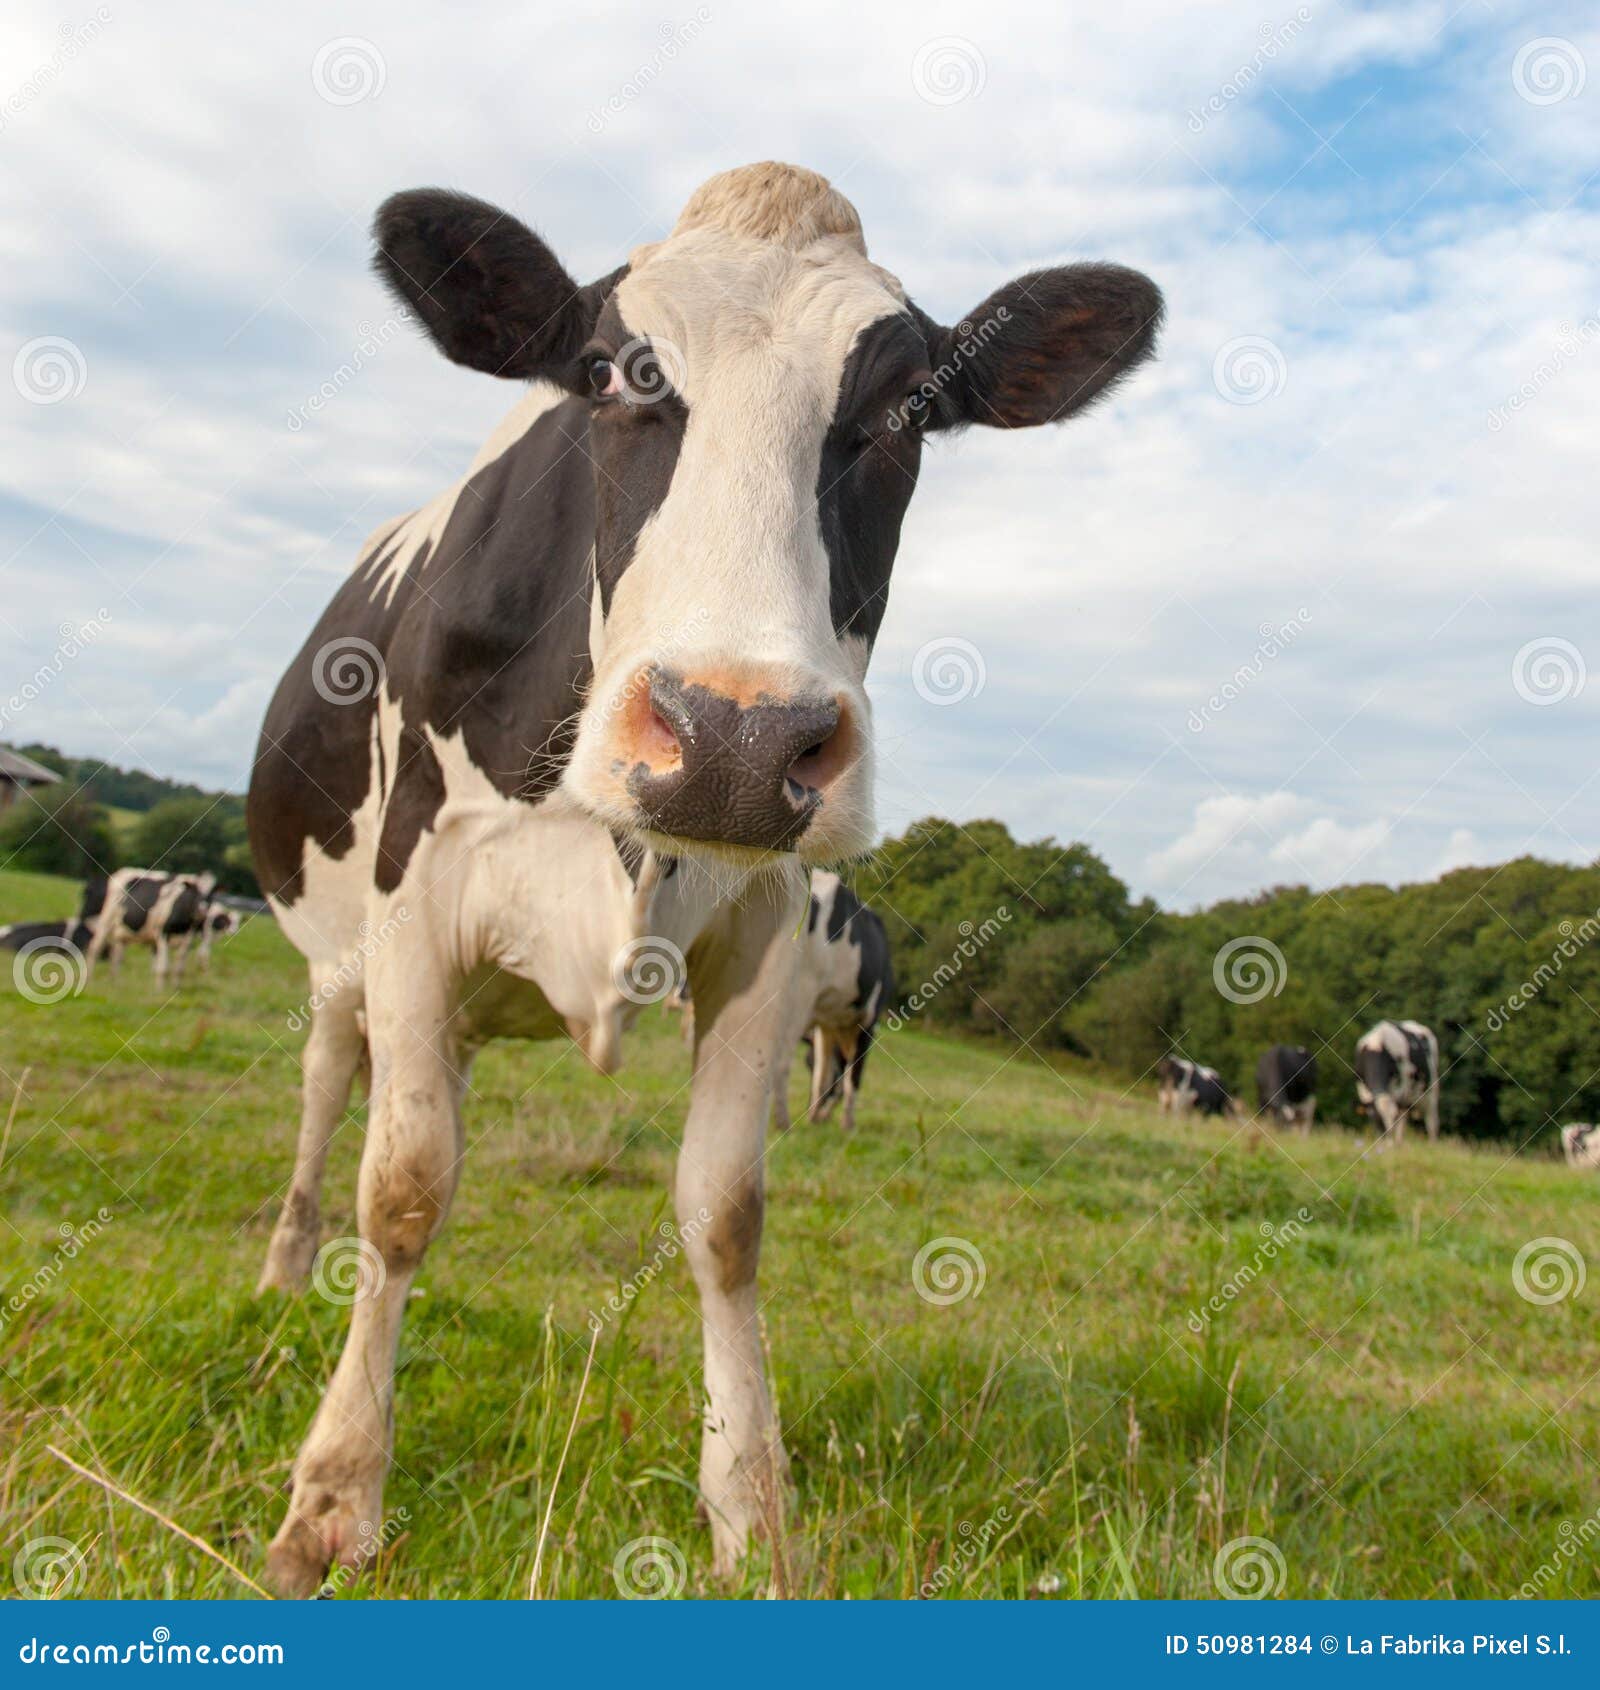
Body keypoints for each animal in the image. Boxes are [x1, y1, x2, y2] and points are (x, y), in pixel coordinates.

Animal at [83, 868, 218, 981]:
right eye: (195, 892)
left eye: (211, 895)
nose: (203, 910)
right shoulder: (163, 933)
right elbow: (163, 968)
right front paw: (160, 992)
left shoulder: (188, 938)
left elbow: (179, 969)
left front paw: (175, 987)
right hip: (106, 921)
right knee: (95, 948)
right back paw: (90, 979)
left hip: (120, 931)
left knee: (116, 956)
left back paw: (116, 983)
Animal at [770, 871, 892, 1133]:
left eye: (807, 1062)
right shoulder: (868, 1022)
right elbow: (852, 1076)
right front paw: (847, 1124)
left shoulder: (825, 1027)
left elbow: (822, 1075)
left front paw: (816, 1115)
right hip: (798, 995)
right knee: (781, 1059)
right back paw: (783, 1123)